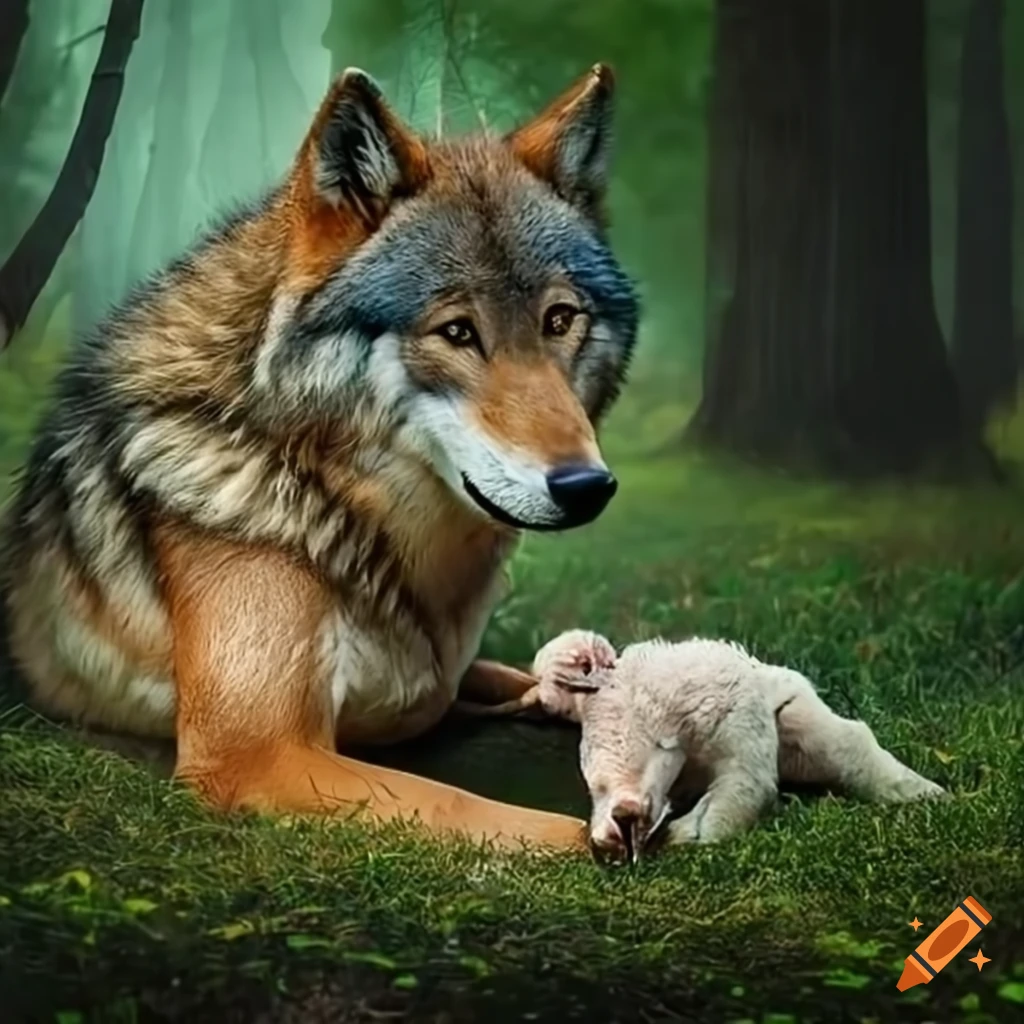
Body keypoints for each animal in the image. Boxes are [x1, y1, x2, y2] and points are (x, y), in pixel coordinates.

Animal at [1, 65, 639, 851]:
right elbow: (477, 810)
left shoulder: (448, 684)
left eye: (559, 320)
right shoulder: (258, 753)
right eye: (457, 332)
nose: (586, 486)